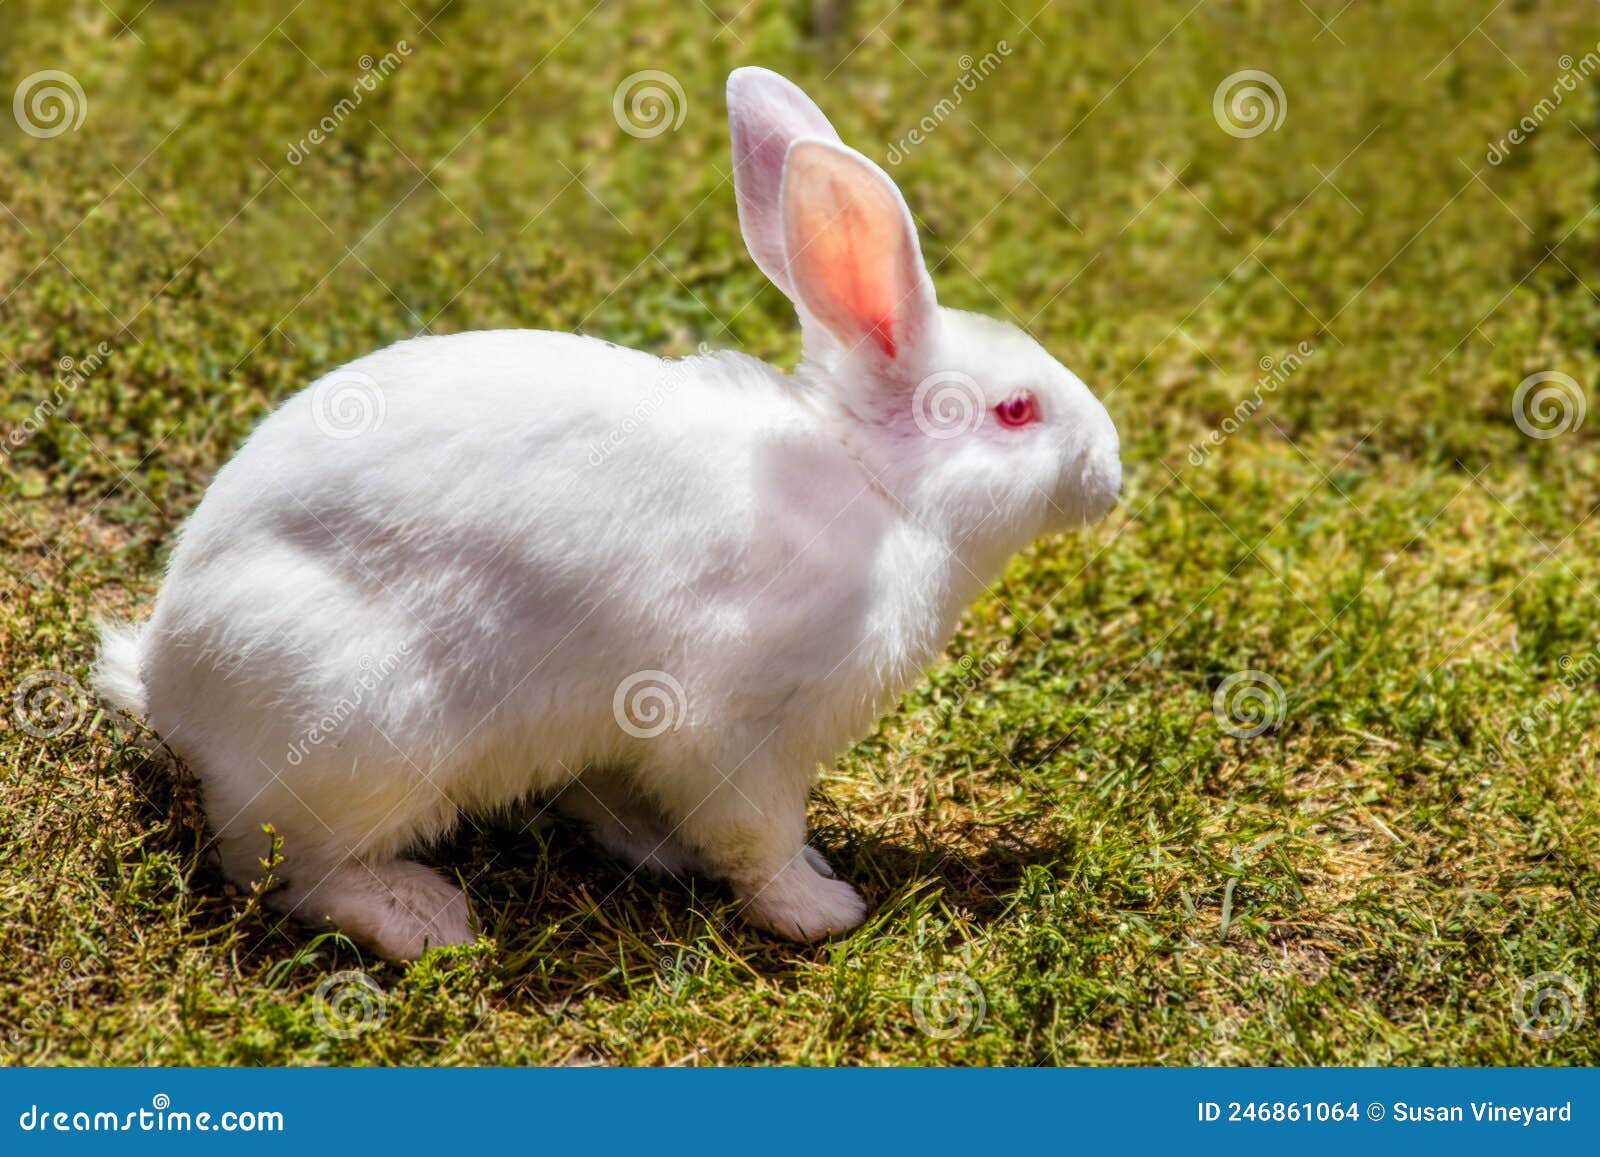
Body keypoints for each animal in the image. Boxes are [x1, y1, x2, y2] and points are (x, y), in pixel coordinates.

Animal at [92, 66, 1122, 961]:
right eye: (1017, 410)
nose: (1110, 469)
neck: (877, 489)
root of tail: (169, 681)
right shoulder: (733, 729)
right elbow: (755, 836)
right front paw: (819, 908)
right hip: (364, 735)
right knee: (279, 868)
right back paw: (423, 916)